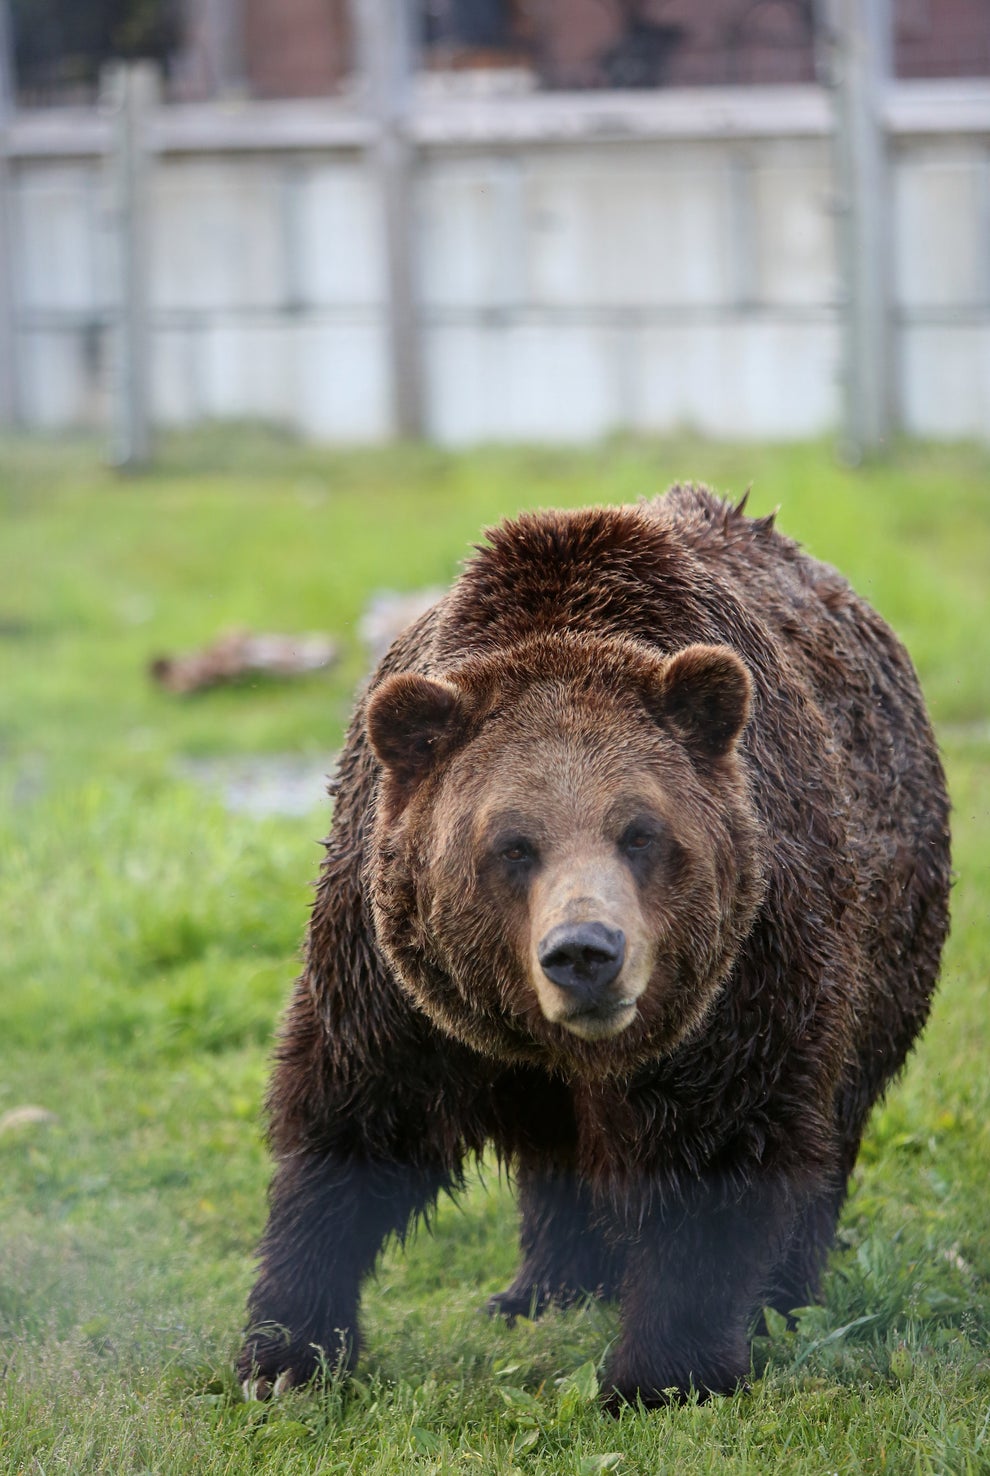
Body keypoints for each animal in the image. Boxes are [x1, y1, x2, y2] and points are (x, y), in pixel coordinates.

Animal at [238, 485, 951, 1408]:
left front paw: (661, 1371)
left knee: (828, 1125)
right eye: (512, 845)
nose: (585, 952)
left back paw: (781, 1298)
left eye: (640, 832)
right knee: (557, 1160)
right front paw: (285, 1350)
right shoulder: (394, 982)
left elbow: (719, 1149)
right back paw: (541, 1291)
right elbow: (350, 1121)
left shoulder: (742, 979)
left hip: (881, 956)